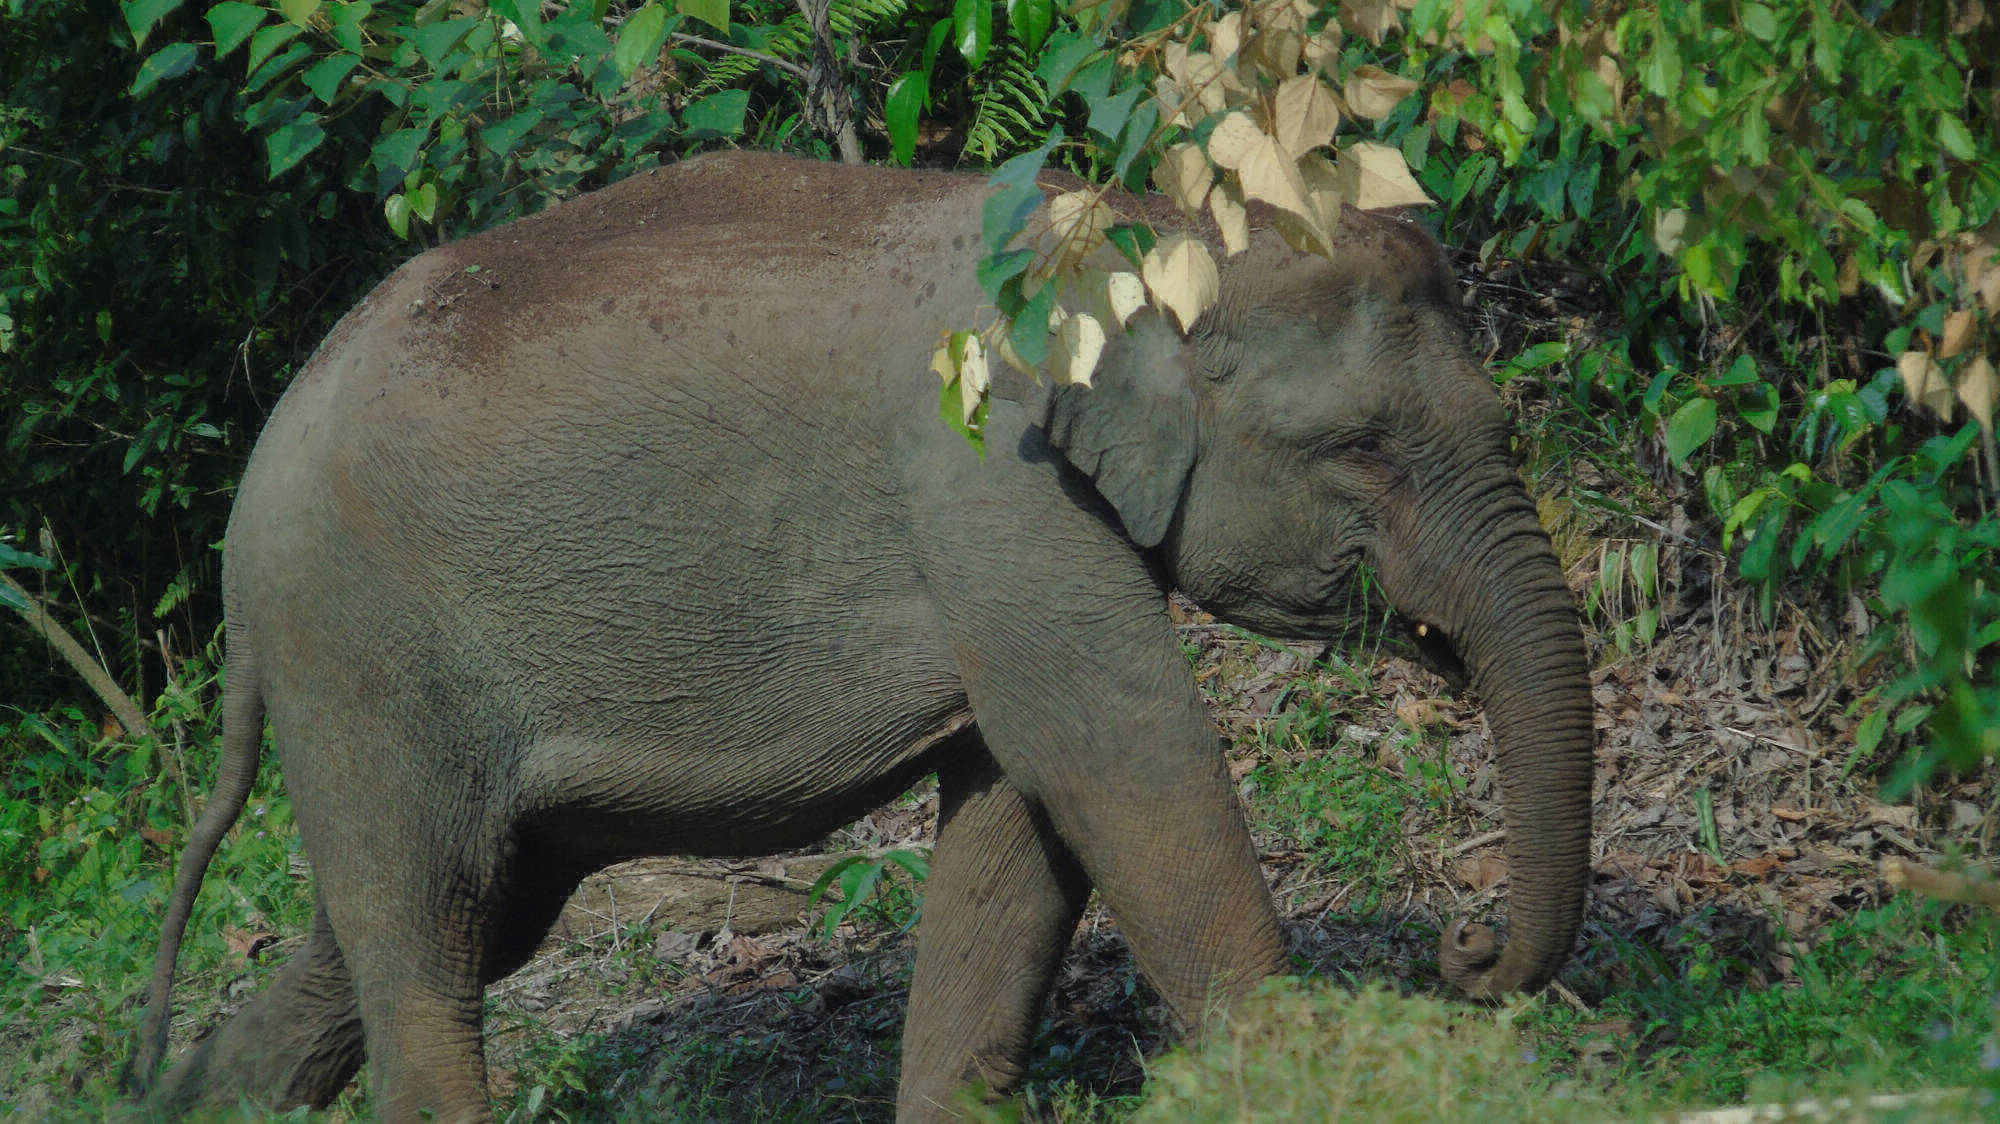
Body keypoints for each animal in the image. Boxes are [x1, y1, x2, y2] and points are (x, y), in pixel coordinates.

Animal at [130, 150, 1593, 1121]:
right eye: (1361, 452)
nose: (1465, 951)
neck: (1140, 226)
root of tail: (237, 537)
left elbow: (1019, 822)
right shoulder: (989, 487)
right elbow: (1124, 762)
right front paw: (1323, 1079)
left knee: (421, 930)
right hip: (360, 657)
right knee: (427, 951)